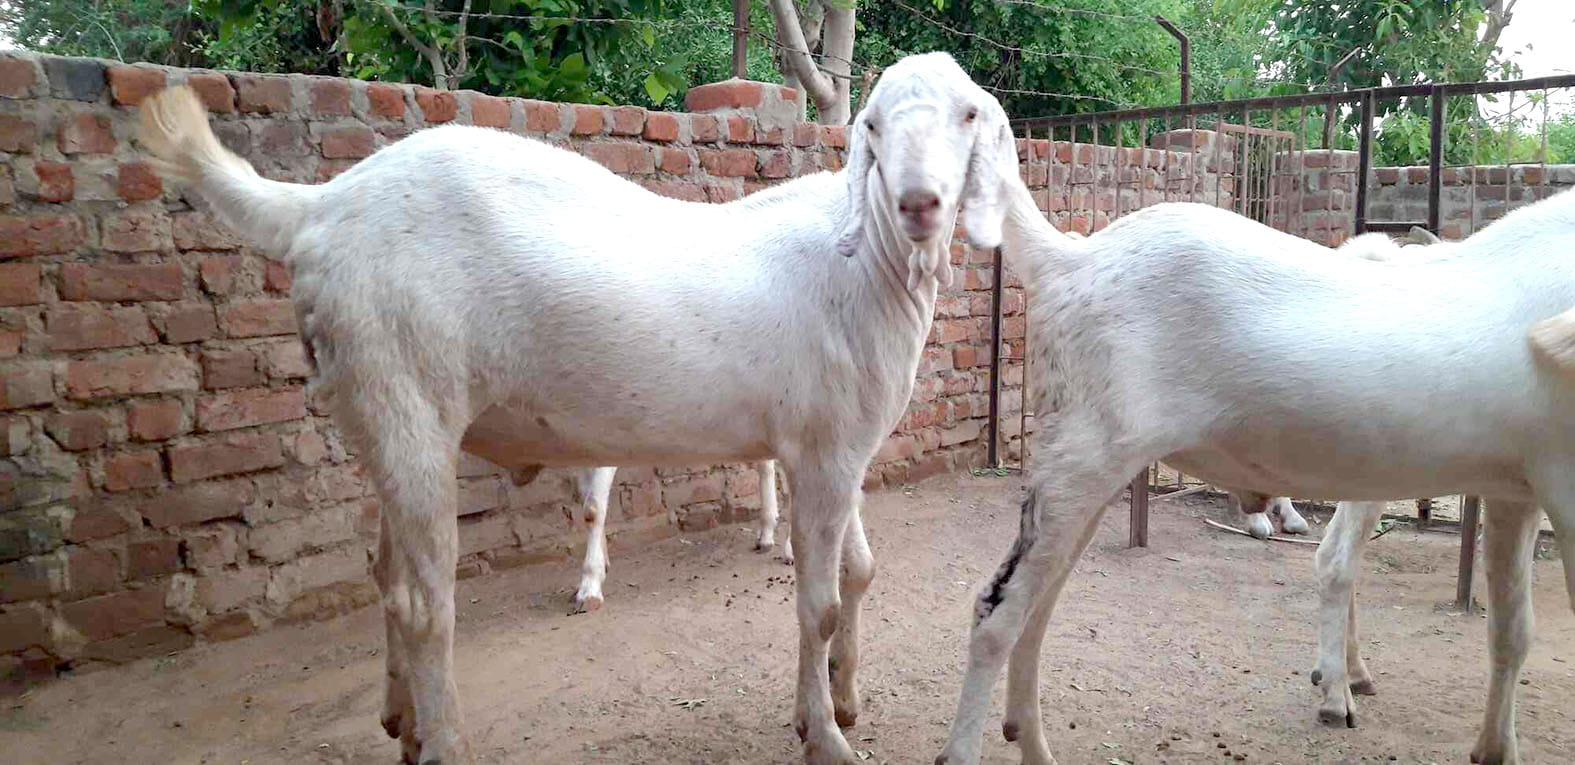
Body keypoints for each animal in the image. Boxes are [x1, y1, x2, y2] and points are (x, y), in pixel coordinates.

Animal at [572, 460, 786, 612]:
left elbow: (593, 509)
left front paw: (590, 589)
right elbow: (587, 501)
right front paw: (602, 564)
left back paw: (779, 544)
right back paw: (766, 534)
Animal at [934, 176, 1575, 765]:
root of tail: (1071, 260)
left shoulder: (1519, 491)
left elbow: (1511, 631)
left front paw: (1495, 750)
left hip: (1090, 471)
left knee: (1036, 612)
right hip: (1083, 461)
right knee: (997, 613)